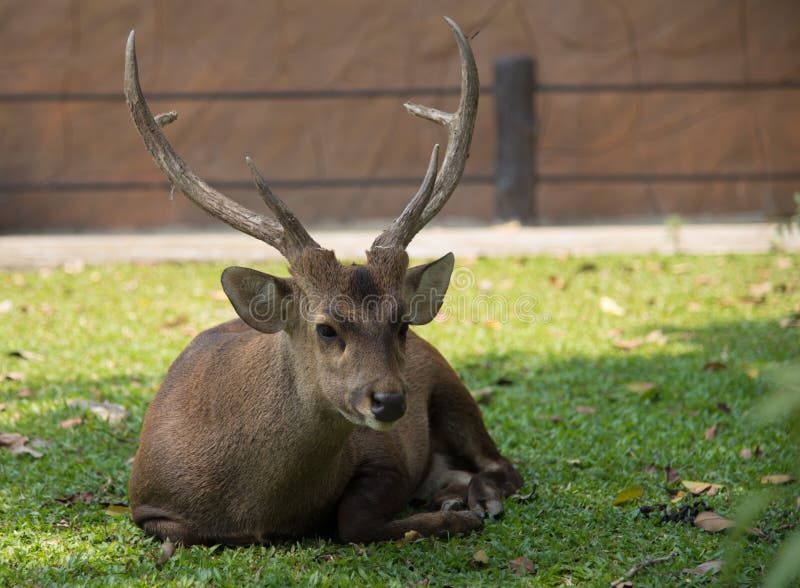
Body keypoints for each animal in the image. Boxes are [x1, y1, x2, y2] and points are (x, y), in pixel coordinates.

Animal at [125, 17, 523, 546]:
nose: (390, 400)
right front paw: (449, 510)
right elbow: (184, 531)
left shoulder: (387, 455)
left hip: (451, 385)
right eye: (326, 328)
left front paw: (455, 515)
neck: (254, 508)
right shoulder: (146, 503)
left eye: (401, 324)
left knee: (503, 464)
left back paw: (477, 498)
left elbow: (353, 521)